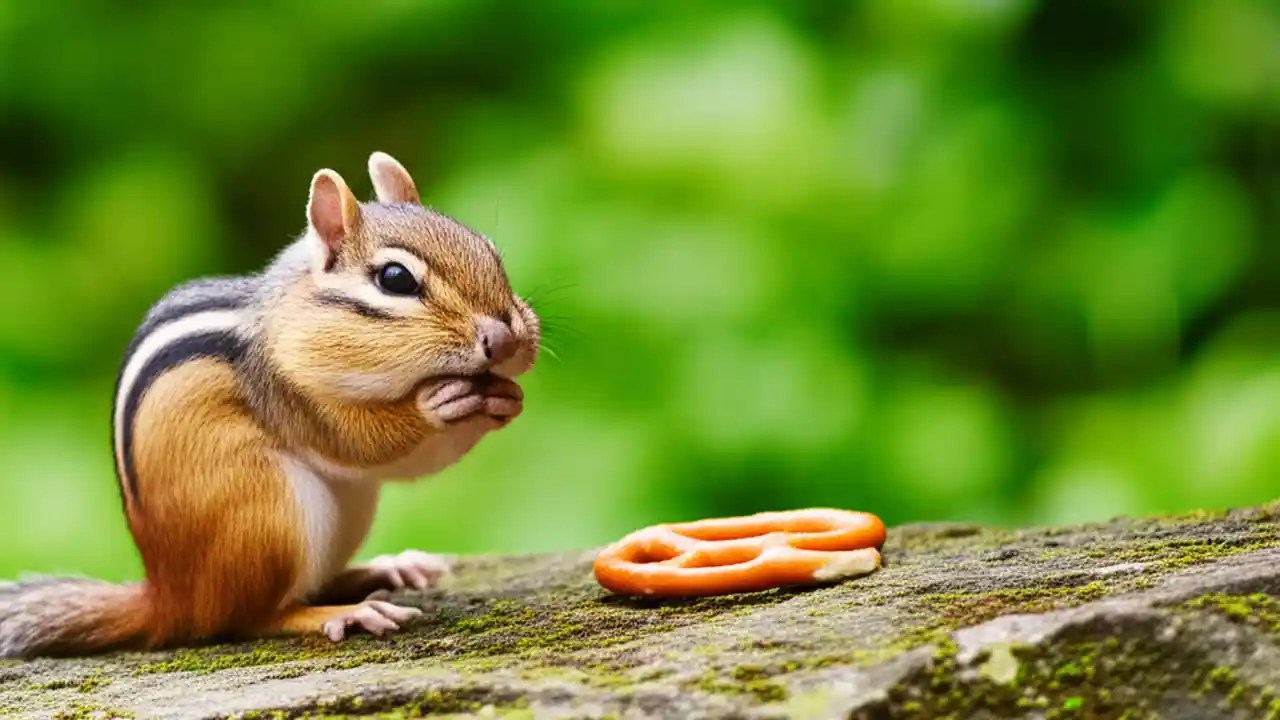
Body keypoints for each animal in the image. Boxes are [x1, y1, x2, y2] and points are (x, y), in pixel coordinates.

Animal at [0, 152, 540, 658]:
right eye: (395, 279)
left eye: (489, 249)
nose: (507, 340)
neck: (289, 320)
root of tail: (169, 599)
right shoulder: (288, 394)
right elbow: (365, 444)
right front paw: (439, 403)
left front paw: (508, 399)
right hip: (272, 516)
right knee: (250, 618)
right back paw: (345, 612)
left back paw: (387, 569)